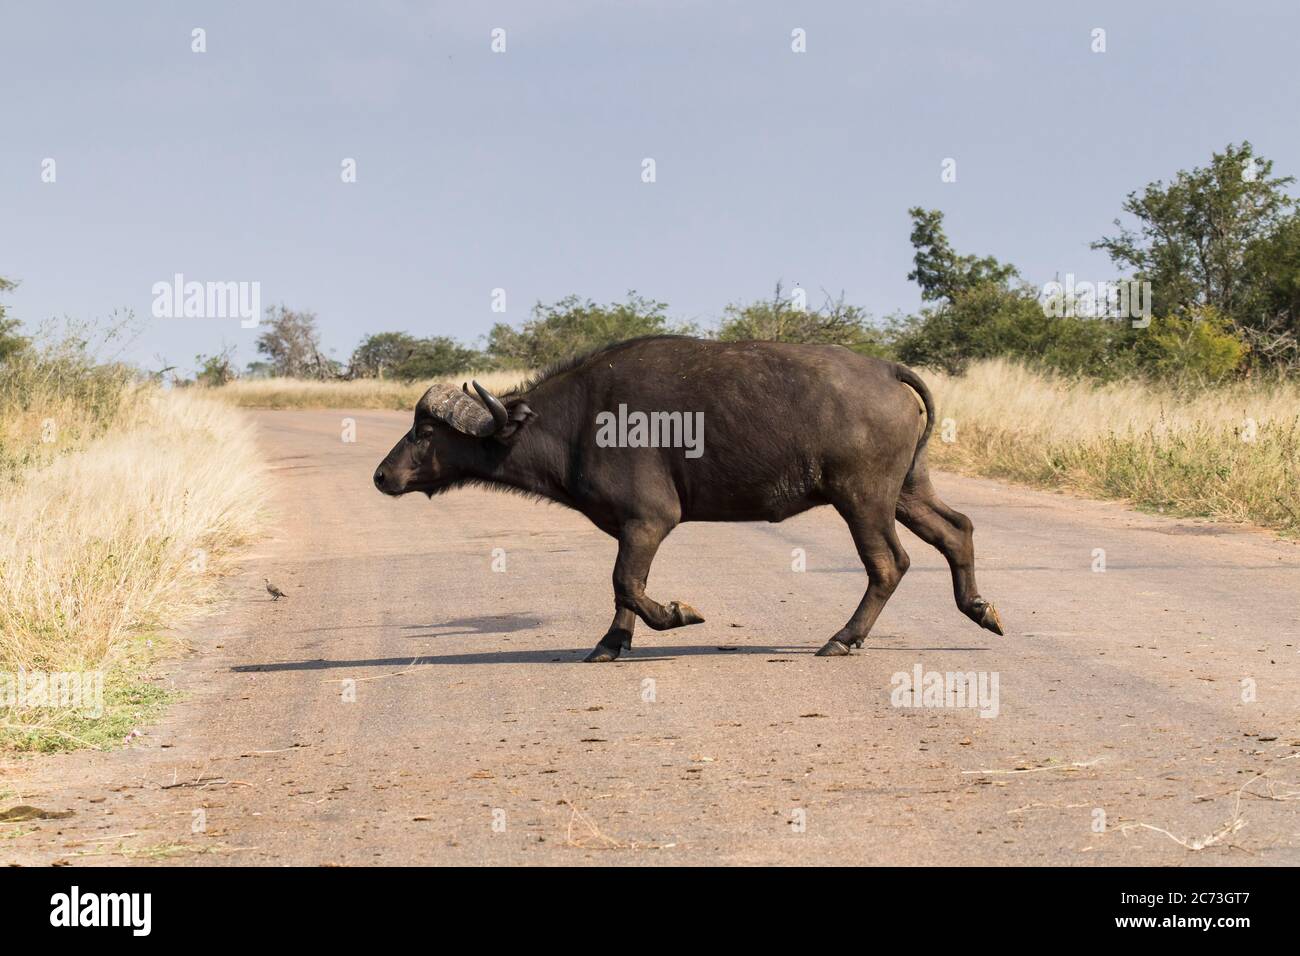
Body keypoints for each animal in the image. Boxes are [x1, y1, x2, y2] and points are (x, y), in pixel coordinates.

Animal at [374, 336, 1003, 661]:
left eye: (425, 431)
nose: (382, 476)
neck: (576, 424)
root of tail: (886, 370)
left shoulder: (650, 520)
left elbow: (627, 583)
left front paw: (679, 615)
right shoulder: (634, 528)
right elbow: (626, 589)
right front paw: (611, 644)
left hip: (863, 497)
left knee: (889, 563)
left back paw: (843, 639)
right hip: (906, 490)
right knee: (957, 529)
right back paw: (980, 609)